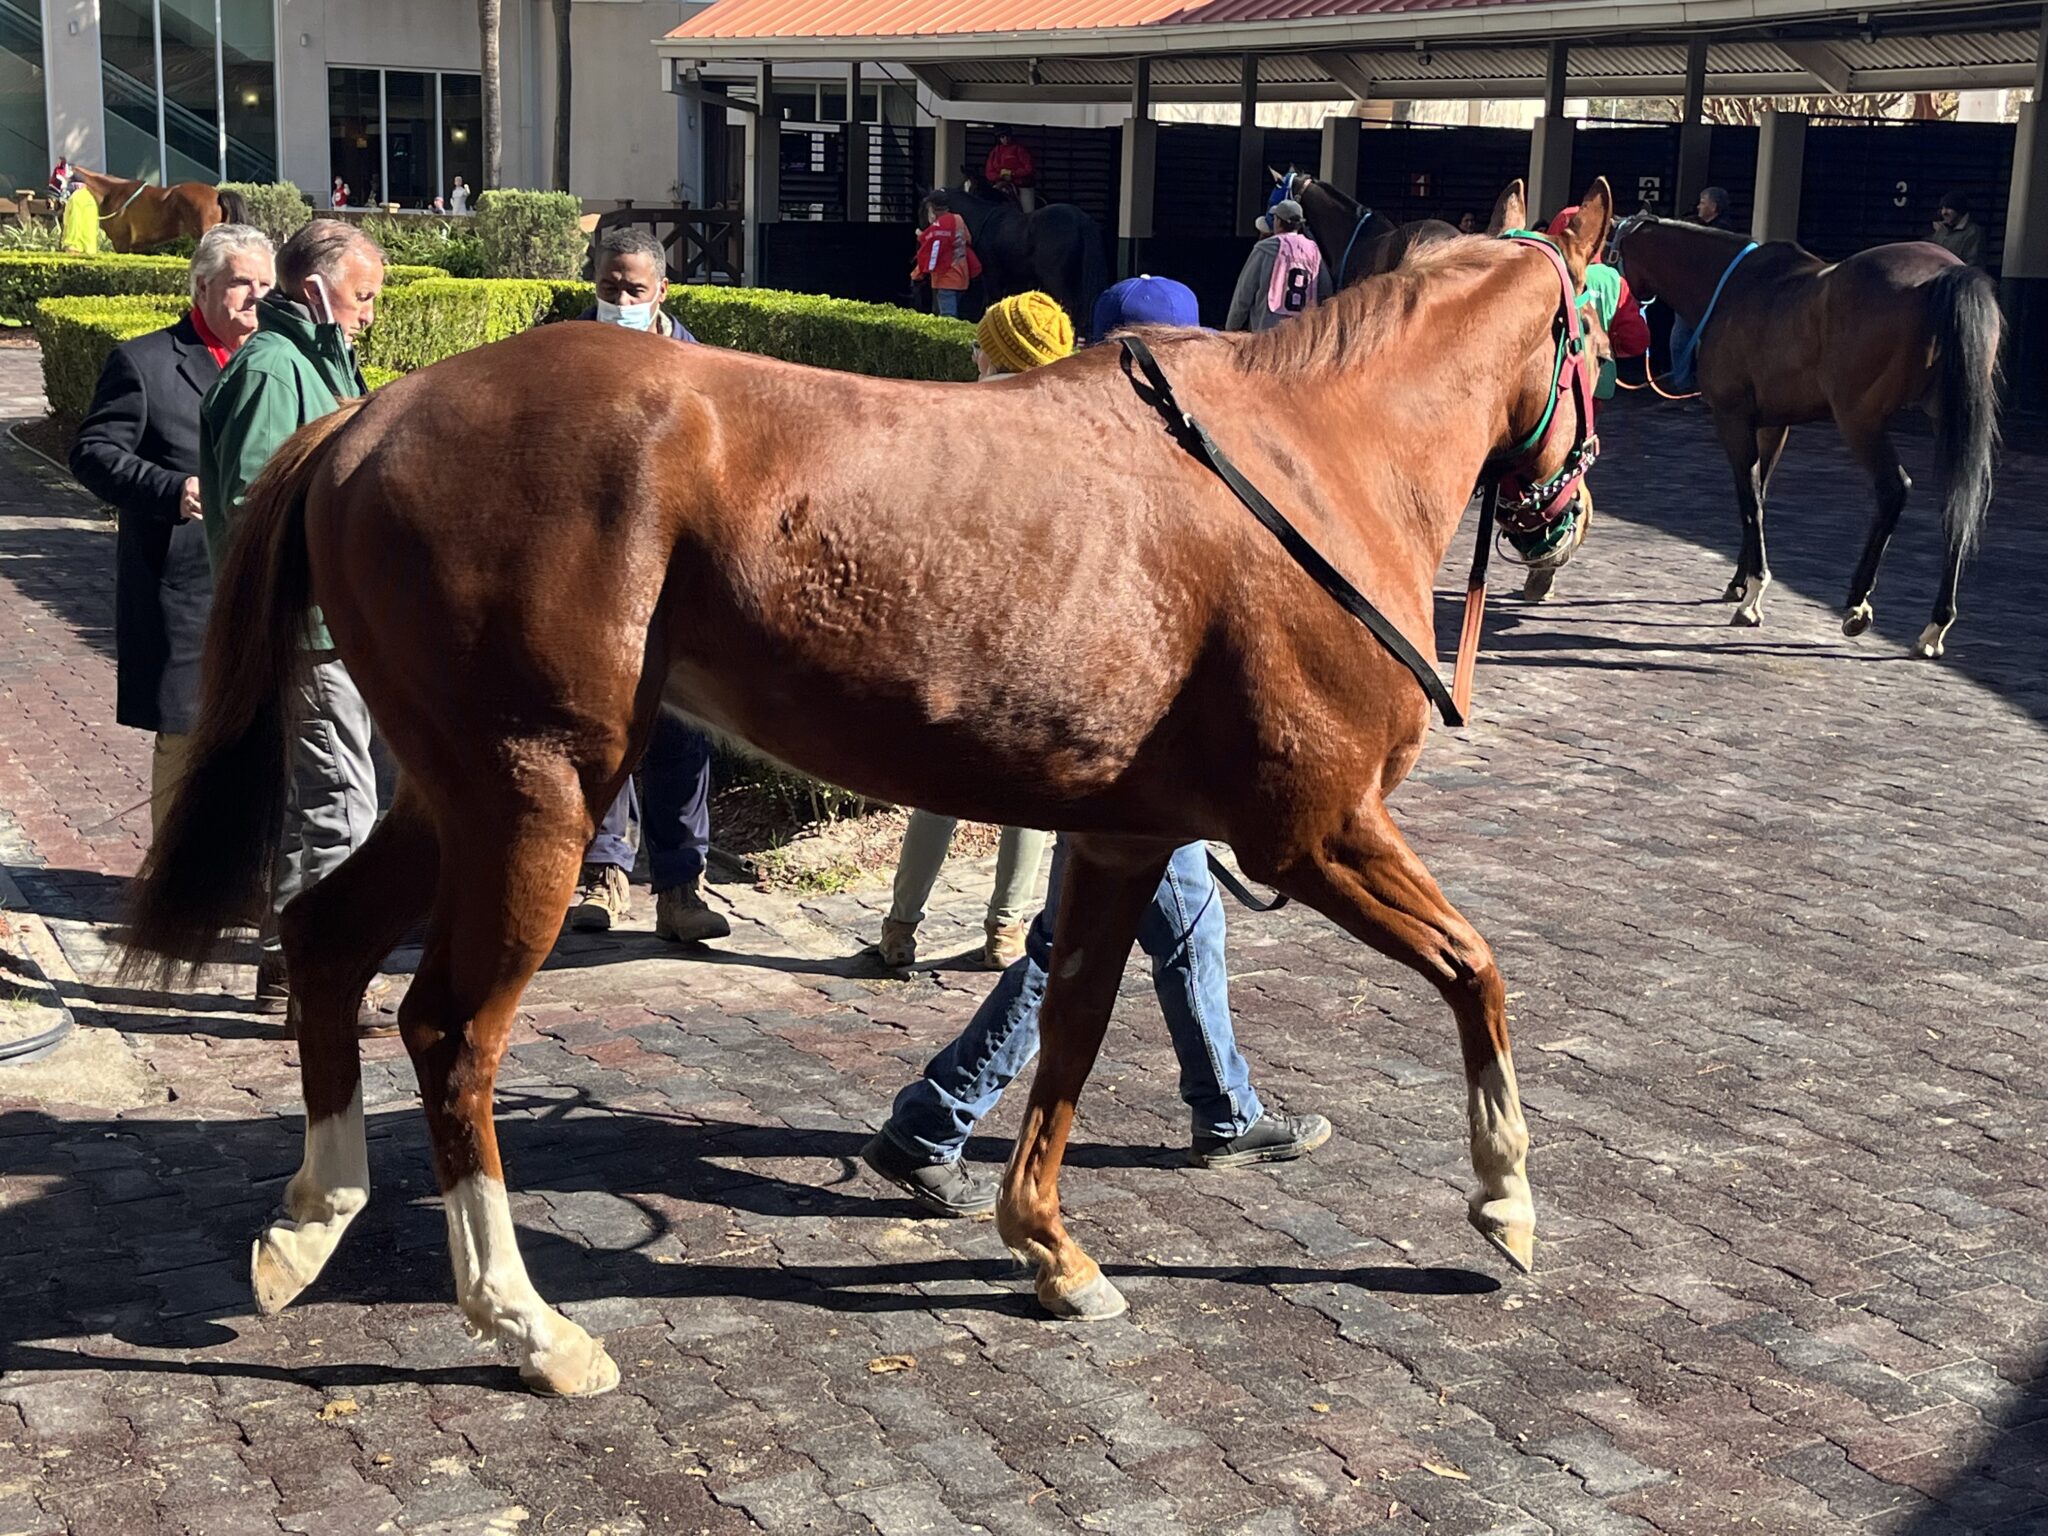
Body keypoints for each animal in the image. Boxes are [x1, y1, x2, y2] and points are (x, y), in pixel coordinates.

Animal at [1610, 215, 2001, 652]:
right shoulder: (1772, 425)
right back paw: (1935, 625)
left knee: (1893, 489)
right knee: (1957, 503)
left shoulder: (1733, 418)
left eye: (1609, 253)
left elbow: (1749, 500)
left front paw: (1752, 596)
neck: (1732, 288)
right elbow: (1759, 492)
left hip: (1859, 419)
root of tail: (1946, 273)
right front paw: (1739, 583)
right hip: (1949, 417)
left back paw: (1857, 605)